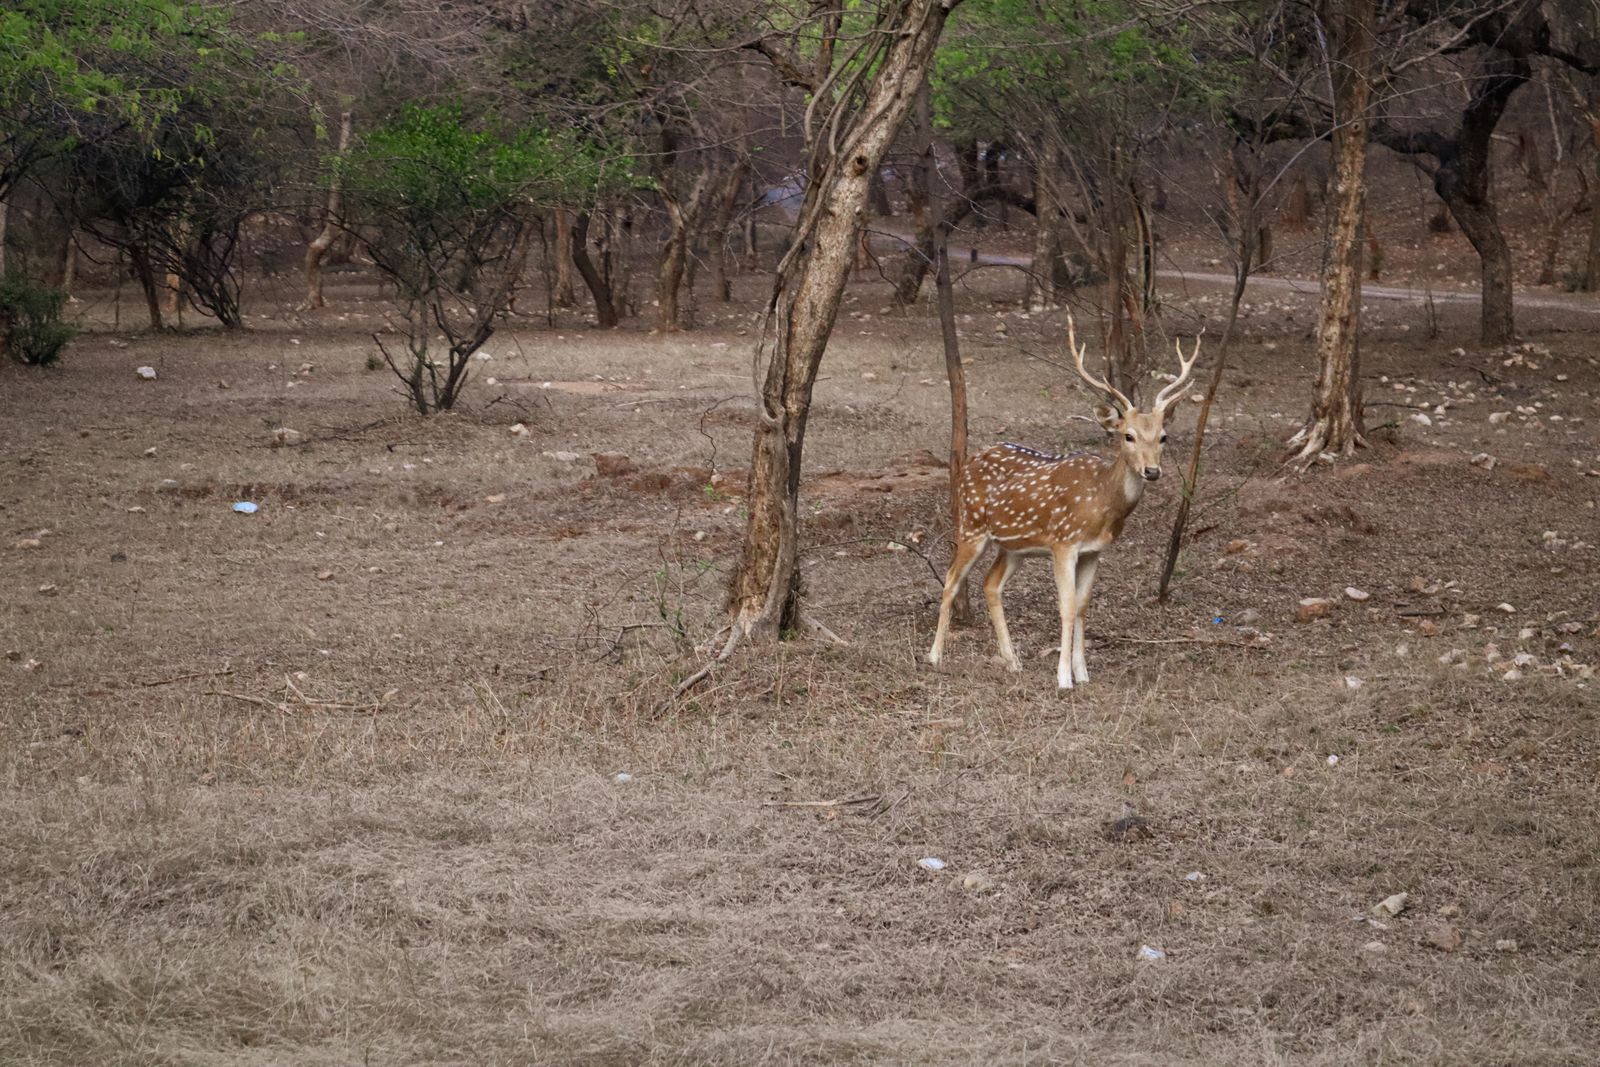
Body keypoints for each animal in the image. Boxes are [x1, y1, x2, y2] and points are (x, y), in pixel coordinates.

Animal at [927, 314, 1200, 689]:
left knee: (990, 585)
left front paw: (1083, 673)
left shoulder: (1094, 551)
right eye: (1127, 435)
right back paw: (935, 656)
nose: (1152, 471)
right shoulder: (1063, 543)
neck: (1102, 503)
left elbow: (1083, 606)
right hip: (971, 526)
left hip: (1013, 547)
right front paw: (1063, 677)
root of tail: (969, 462)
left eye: (1163, 437)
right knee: (951, 580)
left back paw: (1013, 661)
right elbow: (1067, 606)